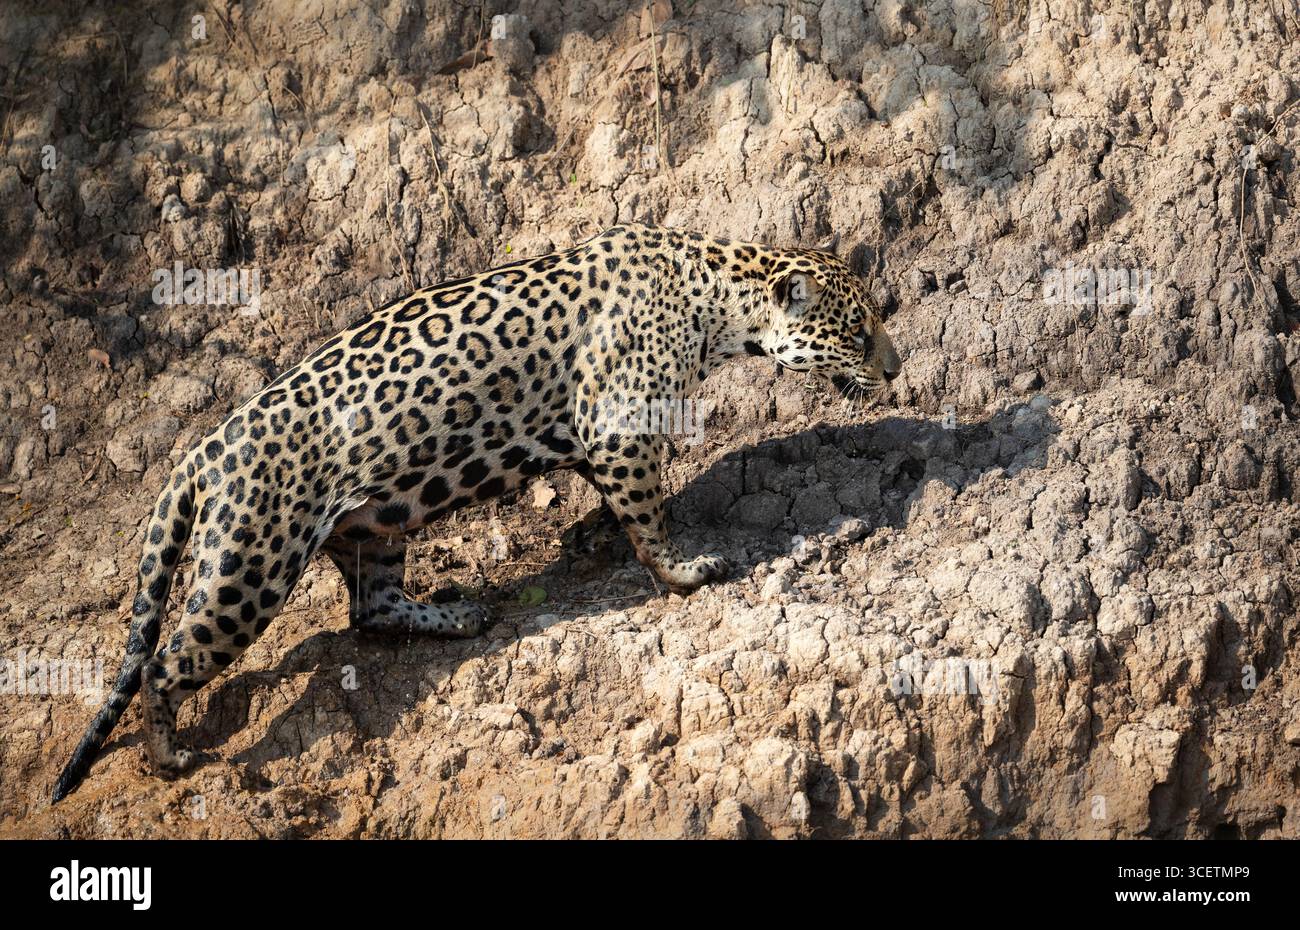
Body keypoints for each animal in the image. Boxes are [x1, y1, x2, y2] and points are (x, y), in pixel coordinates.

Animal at [52, 223, 901, 801]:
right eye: (858, 331)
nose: (896, 369)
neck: (719, 299)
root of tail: (201, 452)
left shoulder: (600, 437)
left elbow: (615, 502)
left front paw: (596, 536)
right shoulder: (619, 424)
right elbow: (650, 516)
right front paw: (684, 570)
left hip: (375, 522)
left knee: (371, 606)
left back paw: (458, 616)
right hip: (247, 569)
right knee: (163, 663)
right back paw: (167, 757)